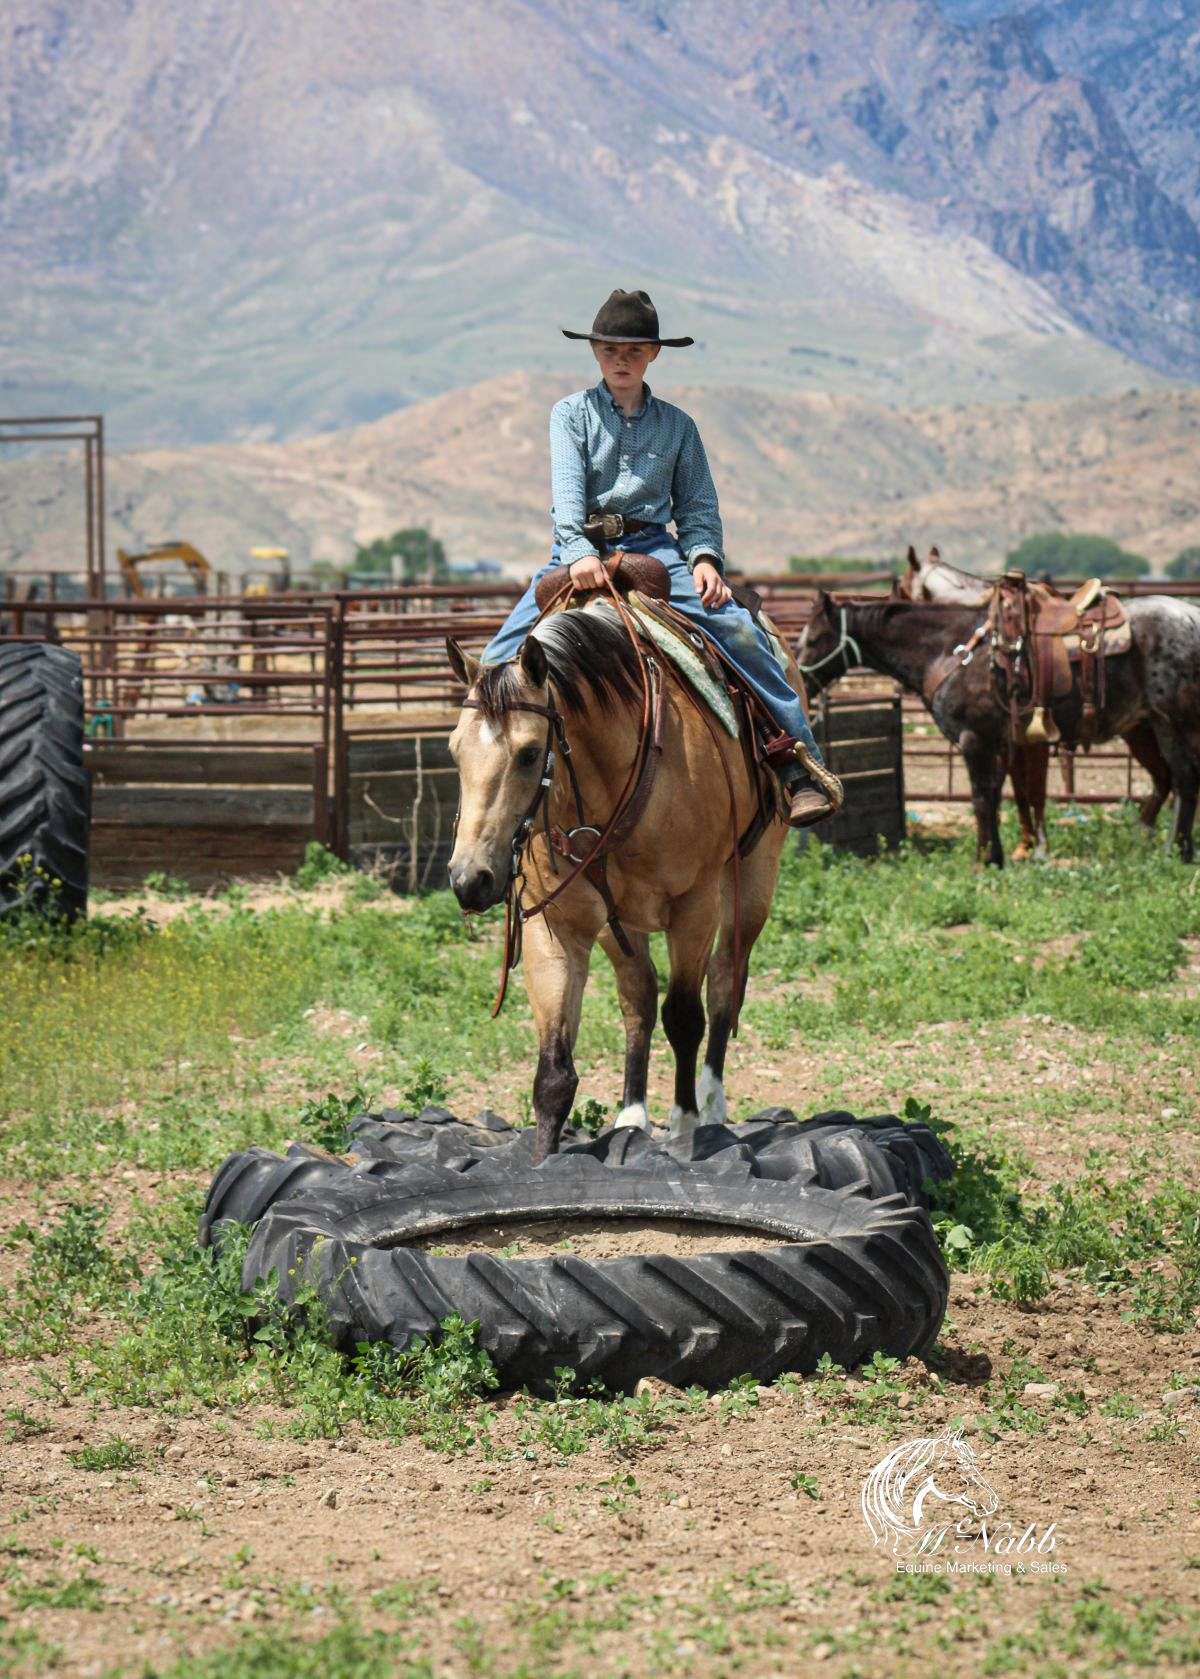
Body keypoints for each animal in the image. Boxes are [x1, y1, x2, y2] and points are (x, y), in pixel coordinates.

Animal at [446, 597, 796, 1161]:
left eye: (528, 753)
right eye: (455, 750)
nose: (469, 879)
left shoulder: (694, 906)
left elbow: (685, 1016)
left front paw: (685, 1131)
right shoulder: (556, 926)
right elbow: (554, 1075)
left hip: (754, 877)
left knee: (724, 981)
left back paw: (711, 1104)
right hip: (619, 922)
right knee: (638, 997)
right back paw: (631, 1117)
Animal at [799, 589, 1200, 864]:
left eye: (813, 639)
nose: (801, 686)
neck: (952, 651)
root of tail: (1191, 615)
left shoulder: (974, 739)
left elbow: (980, 799)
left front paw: (983, 860)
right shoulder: (999, 743)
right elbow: (994, 797)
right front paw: (997, 856)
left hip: (1173, 724)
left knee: (1184, 780)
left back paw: (1175, 851)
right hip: (1147, 729)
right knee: (1170, 781)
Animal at [899, 546, 1173, 855]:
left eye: (901, 590)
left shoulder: (1035, 740)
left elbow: (1034, 791)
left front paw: (1039, 845)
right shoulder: (1013, 741)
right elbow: (1018, 789)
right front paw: (1024, 844)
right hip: (1141, 732)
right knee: (1164, 778)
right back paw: (1143, 835)